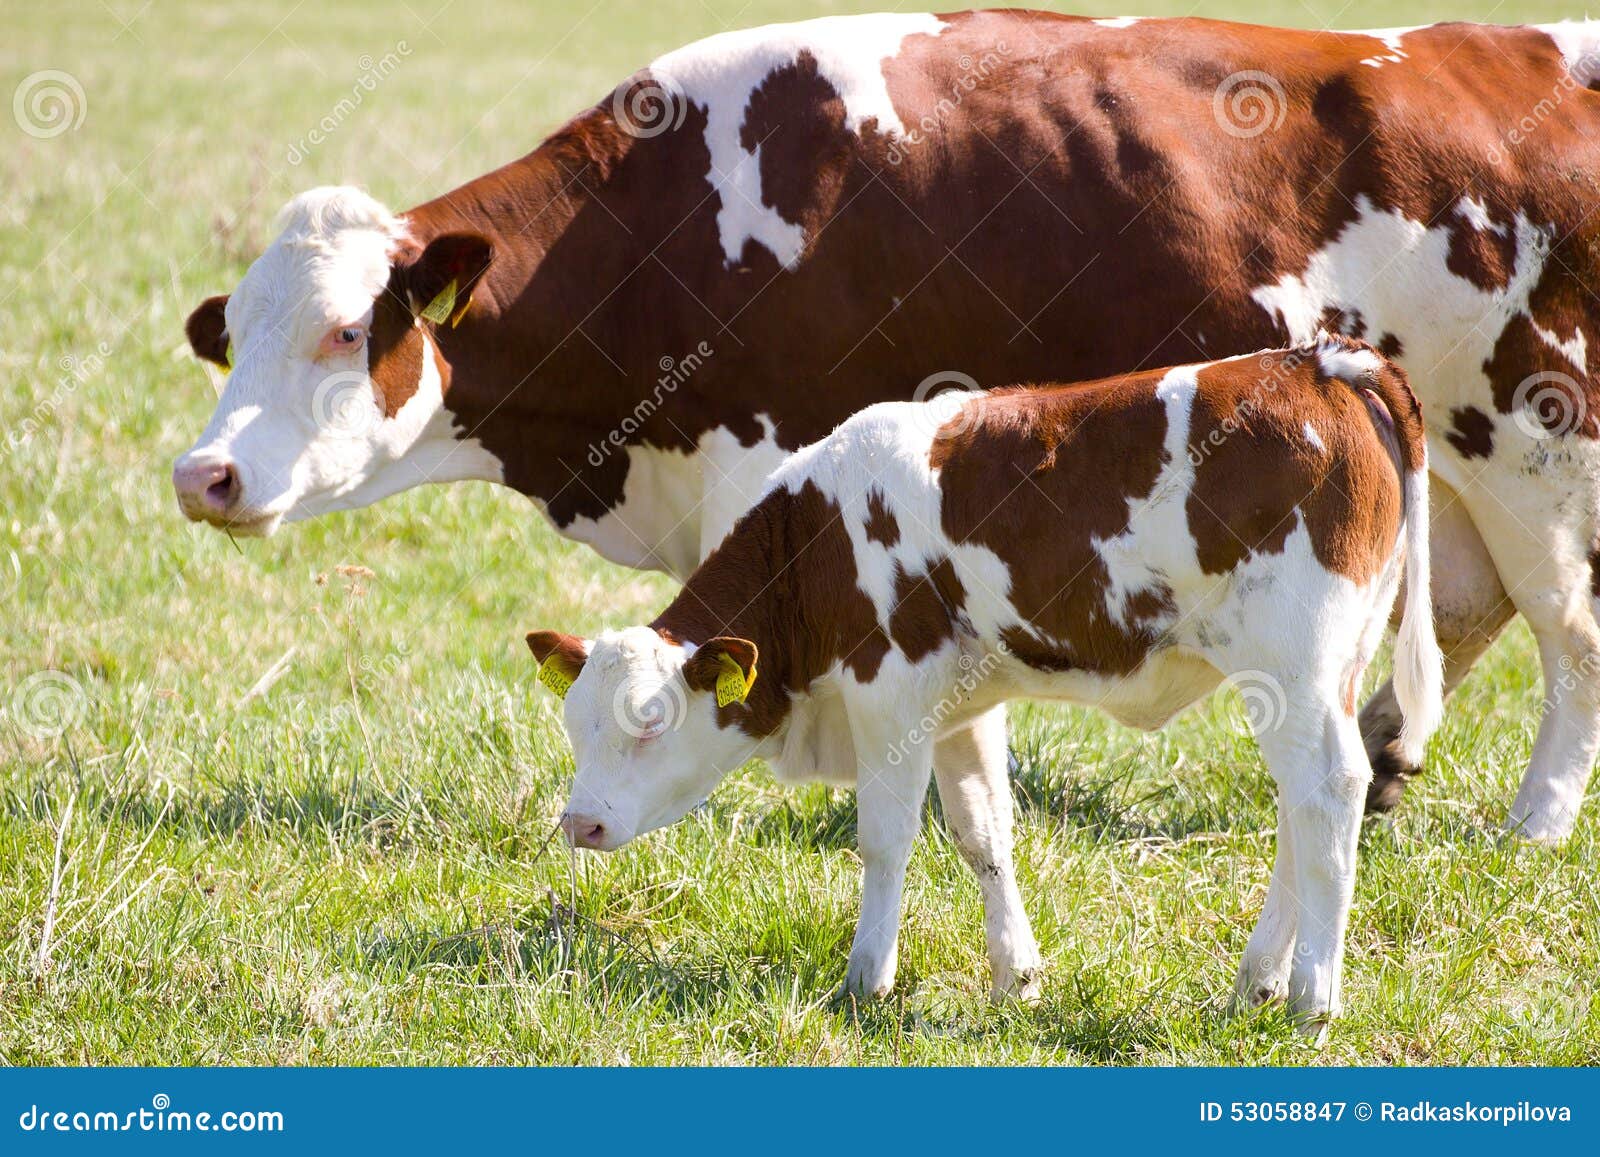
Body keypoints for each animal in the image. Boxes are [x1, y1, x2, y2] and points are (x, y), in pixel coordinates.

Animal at [177, 12, 1600, 841]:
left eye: (345, 332)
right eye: (231, 332)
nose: (206, 473)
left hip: (1527, 429)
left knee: (1566, 623)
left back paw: (1534, 819)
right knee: (1458, 606)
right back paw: (1395, 750)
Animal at [524, 335, 1442, 1030]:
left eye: (649, 720)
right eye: (573, 725)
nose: (579, 823)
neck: (817, 536)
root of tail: (1319, 362)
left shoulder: (888, 688)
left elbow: (885, 837)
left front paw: (866, 979)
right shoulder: (962, 707)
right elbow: (983, 833)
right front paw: (1015, 977)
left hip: (1293, 657)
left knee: (1328, 791)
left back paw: (1311, 999)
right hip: (1323, 668)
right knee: (1304, 805)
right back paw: (1258, 979)